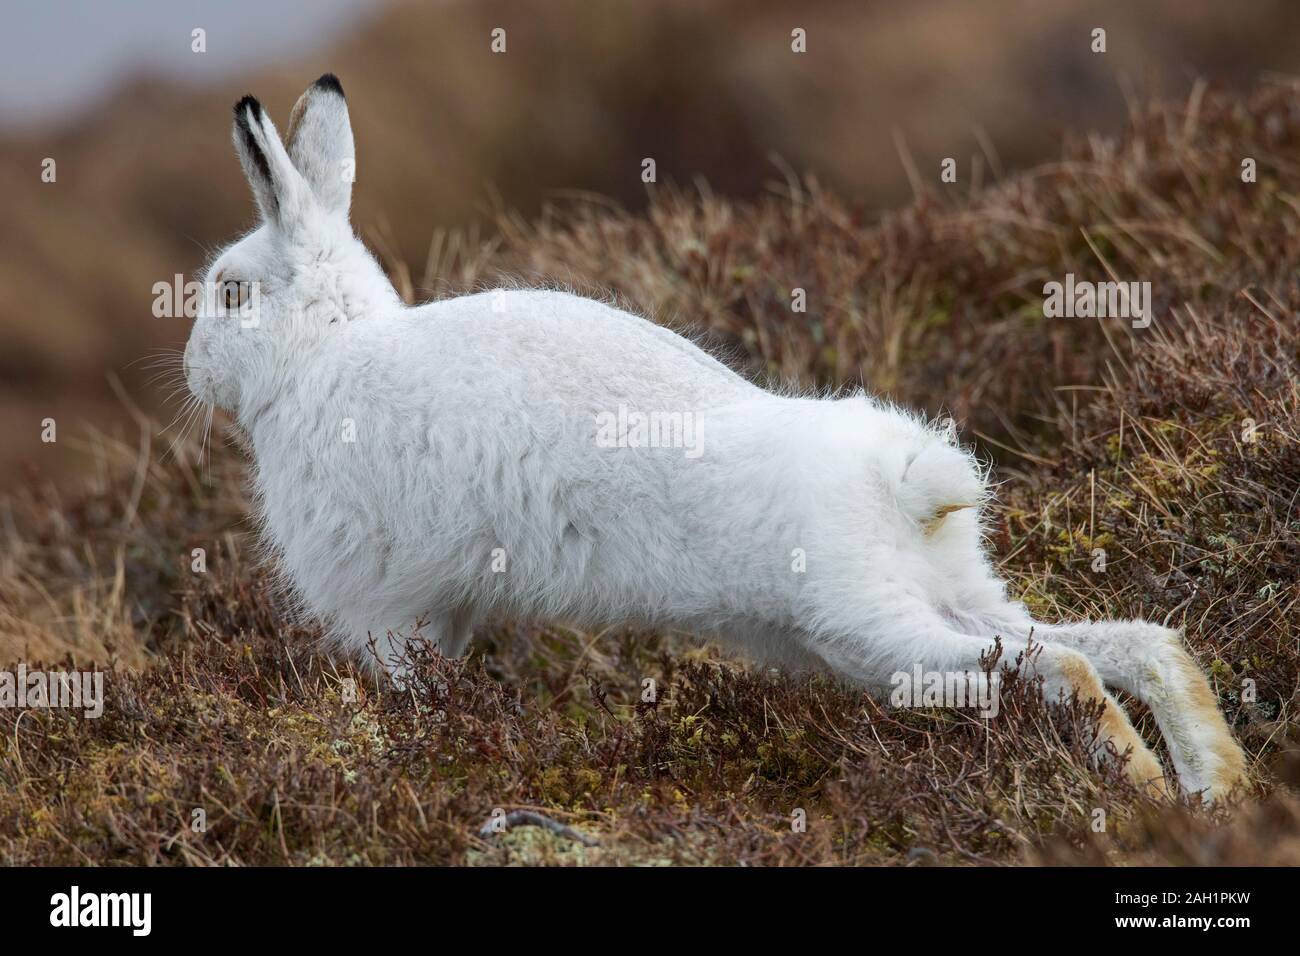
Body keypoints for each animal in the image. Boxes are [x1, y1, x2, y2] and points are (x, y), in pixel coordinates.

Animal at [184, 74, 1248, 802]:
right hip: (946, 597)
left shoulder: (387, 613)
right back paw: (1214, 789)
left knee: (1059, 668)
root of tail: (909, 478)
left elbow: (411, 690)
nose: (194, 373)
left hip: (866, 630)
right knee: (1136, 644)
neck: (324, 354)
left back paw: (1143, 794)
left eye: (229, 294)